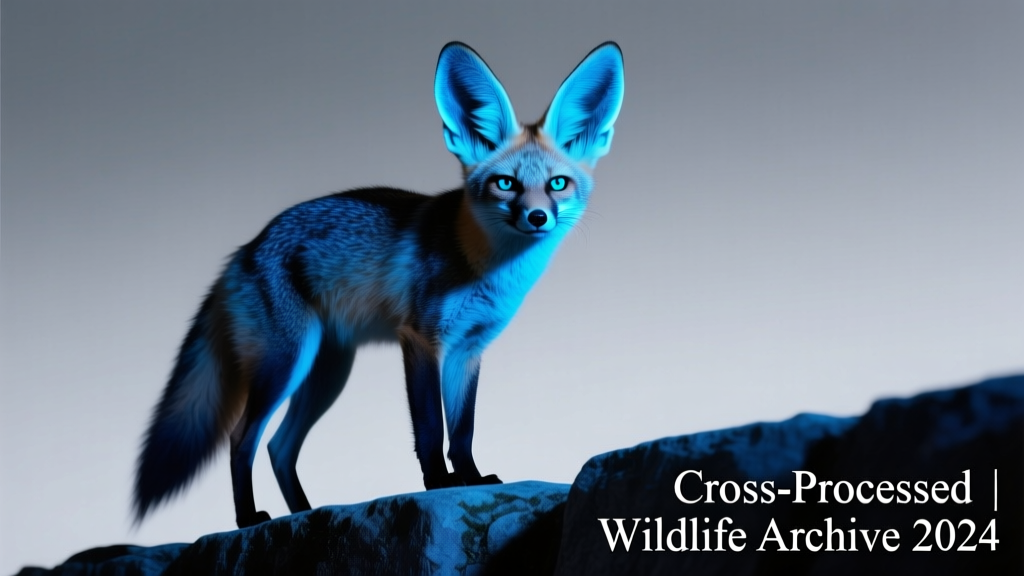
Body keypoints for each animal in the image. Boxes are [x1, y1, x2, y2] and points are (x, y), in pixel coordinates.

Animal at [133, 41, 624, 528]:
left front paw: (471, 478)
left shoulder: (467, 351)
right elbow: (431, 430)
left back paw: (307, 513)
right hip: (285, 364)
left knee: (279, 447)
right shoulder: (422, 341)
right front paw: (439, 483)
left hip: (325, 374)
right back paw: (250, 518)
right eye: (506, 183)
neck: (485, 268)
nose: (538, 217)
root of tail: (245, 248)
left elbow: (462, 432)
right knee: (242, 439)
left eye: (557, 184)